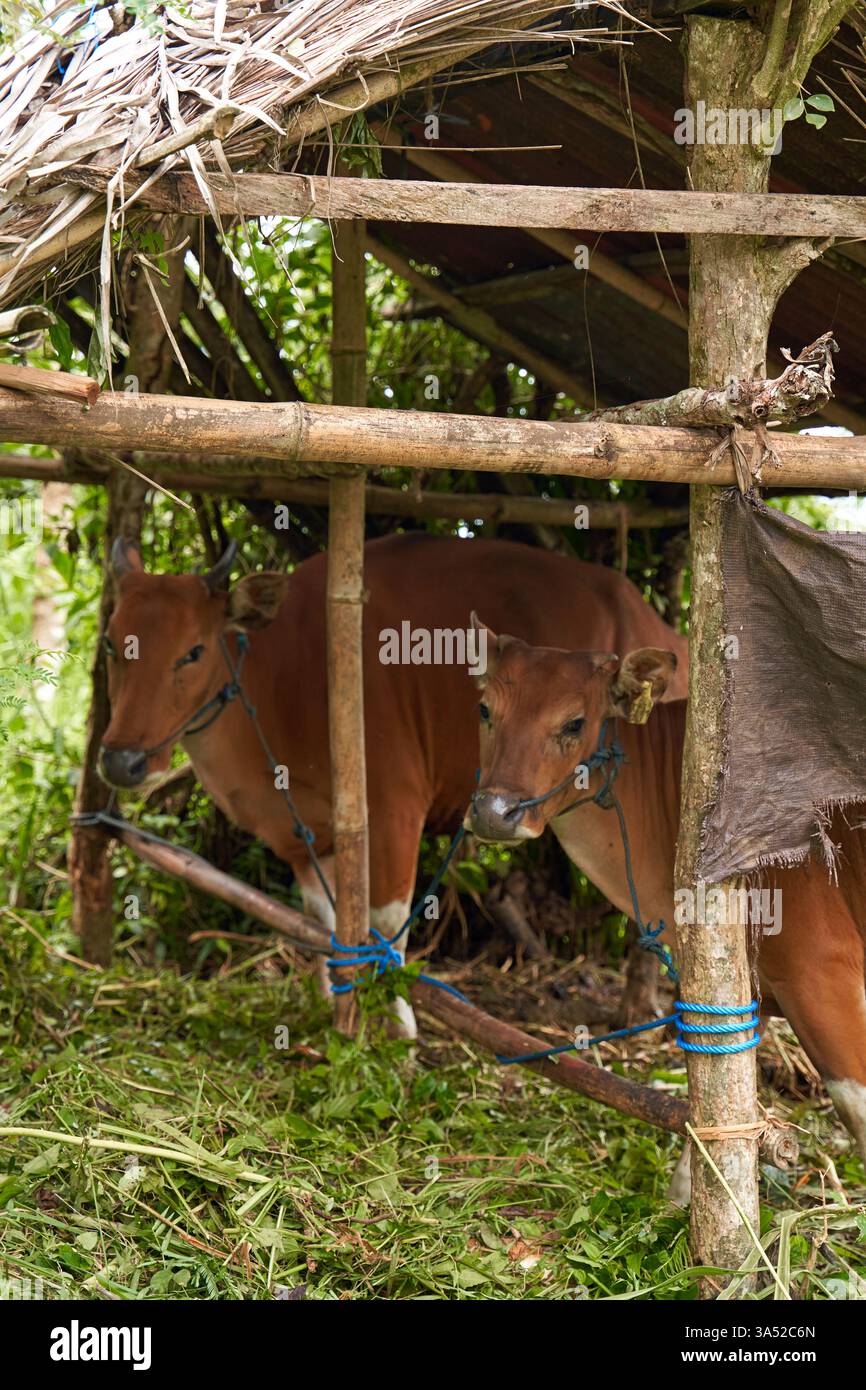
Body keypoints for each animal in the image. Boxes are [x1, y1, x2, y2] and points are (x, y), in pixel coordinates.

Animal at [101, 533, 688, 1038]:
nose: (122, 761)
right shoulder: (302, 831)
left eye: (193, 651)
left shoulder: (393, 811)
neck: (284, 681)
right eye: (110, 646)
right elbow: (323, 915)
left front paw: (396, 1023)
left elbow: (386, 922)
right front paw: (333, 995)